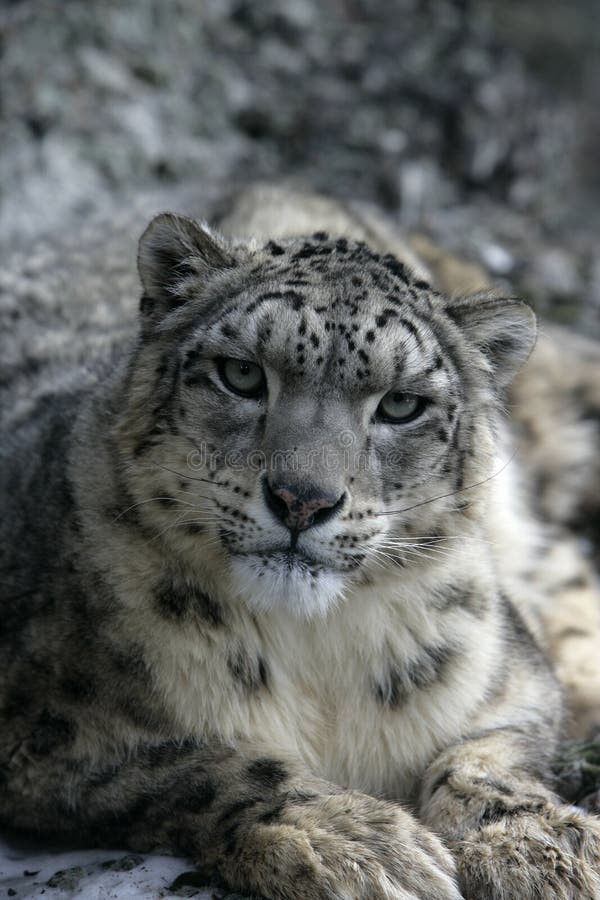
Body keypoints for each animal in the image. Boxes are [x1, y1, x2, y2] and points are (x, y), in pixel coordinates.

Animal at [1, 182, 600, 900]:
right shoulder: (45, 731)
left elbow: (485, 756)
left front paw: (543, 846)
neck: (319, 652)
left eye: (401, 405)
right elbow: (201, 765)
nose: (302, 499)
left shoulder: (512, 682)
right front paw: (361, 845)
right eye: (240, 374)